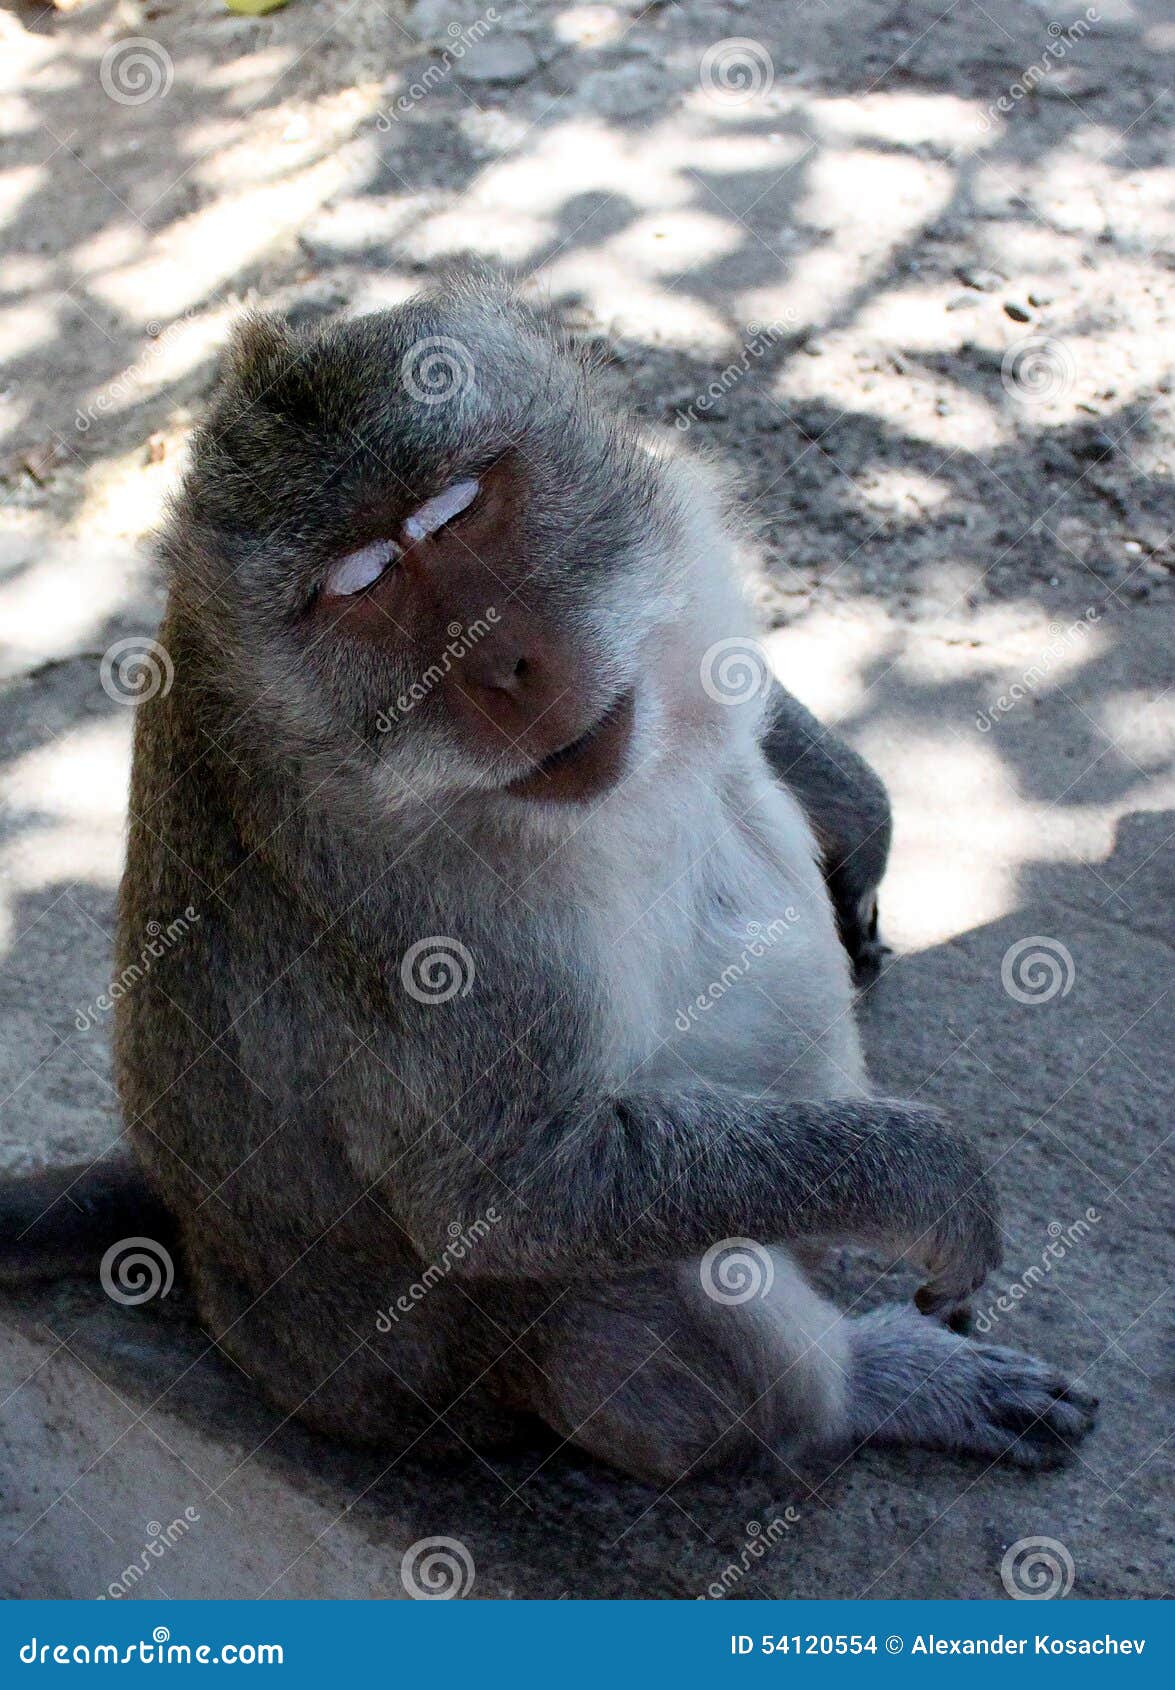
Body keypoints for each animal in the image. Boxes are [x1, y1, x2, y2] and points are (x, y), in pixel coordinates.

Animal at [0, 275, 1095, 1489]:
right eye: (362, 583)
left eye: (455, 510)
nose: (504, 663)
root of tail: (194, 1248)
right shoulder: (402, 912)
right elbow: (512, 1196)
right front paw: (929, 1178)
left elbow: (744, 703)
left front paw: (856, 818)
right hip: (467, 1387)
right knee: (626, 1270)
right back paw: (869, 1386)